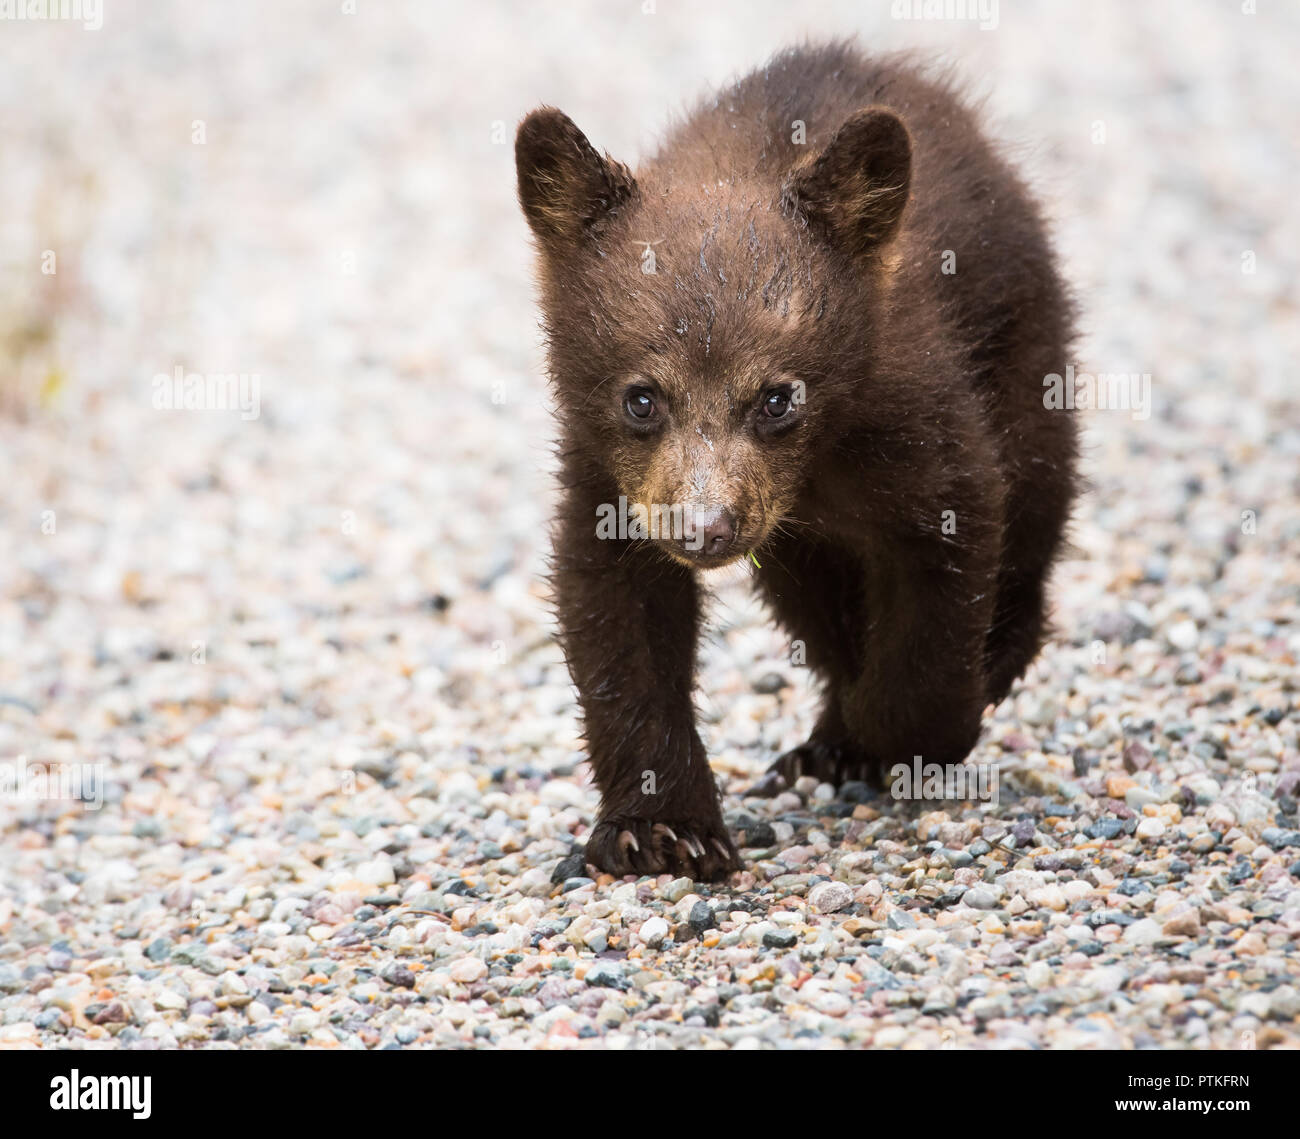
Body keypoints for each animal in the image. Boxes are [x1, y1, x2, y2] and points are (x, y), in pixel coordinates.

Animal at [514, 41, 1077, 880]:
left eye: (778, 397)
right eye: (641, 398)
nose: (704, 527)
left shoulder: (915, 415)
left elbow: (946, 558)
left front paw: (906, 732)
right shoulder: (608, 475)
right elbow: (617, 611)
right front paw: (662, 829)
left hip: (1026, 346)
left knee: (1037, 494)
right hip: (792, 549)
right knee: (815, 602)